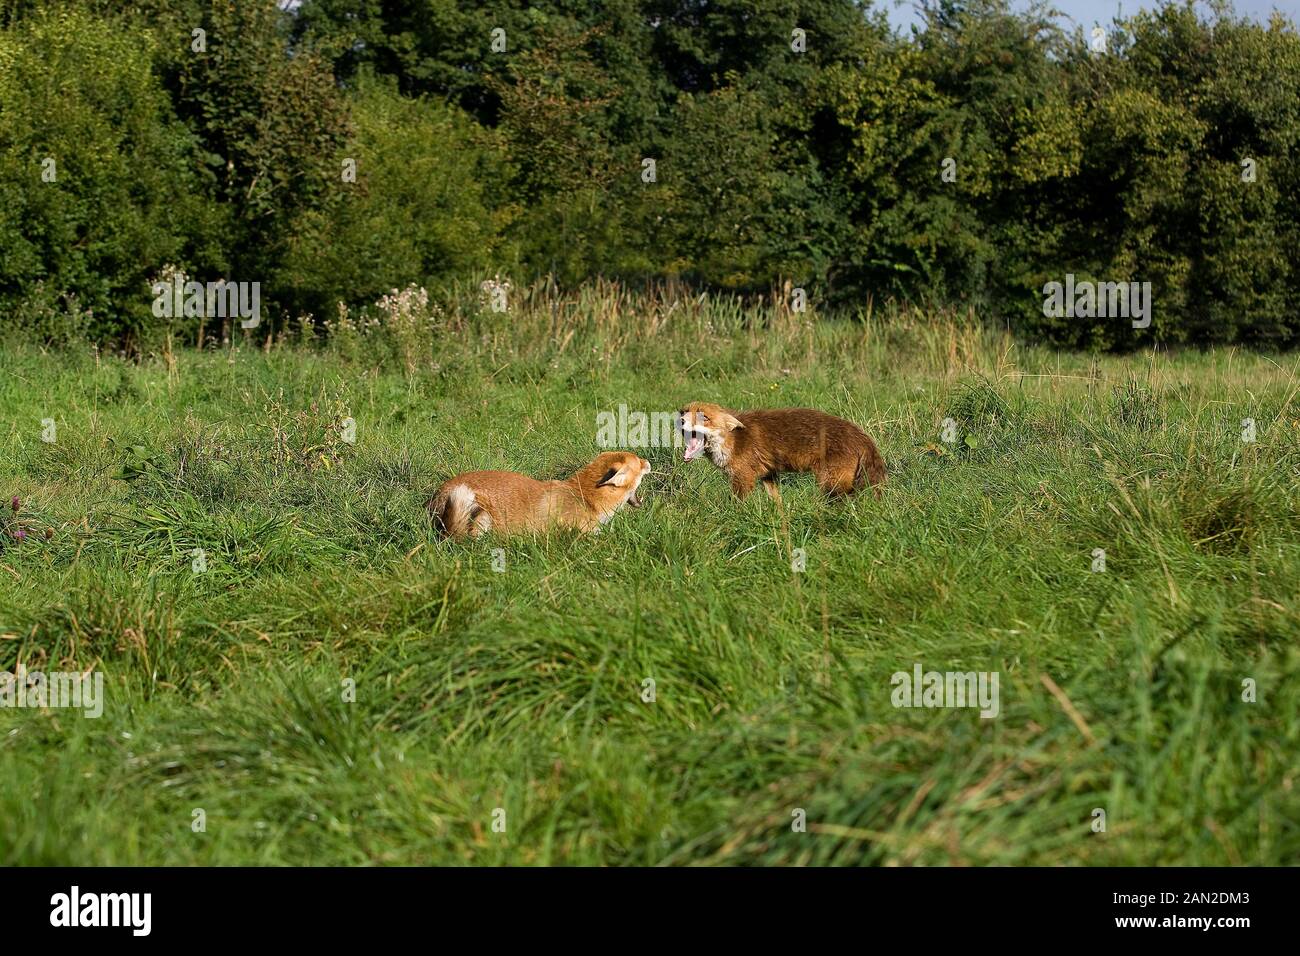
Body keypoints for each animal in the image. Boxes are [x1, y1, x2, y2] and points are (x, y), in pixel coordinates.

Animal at [679, 402, 885, 500]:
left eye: (704, 417)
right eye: (684, 412)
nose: (679, 420)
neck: (733, 441)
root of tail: (862, 436)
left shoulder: (743, 478)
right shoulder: (769, 475)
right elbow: (776, 502)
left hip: (832, 484)